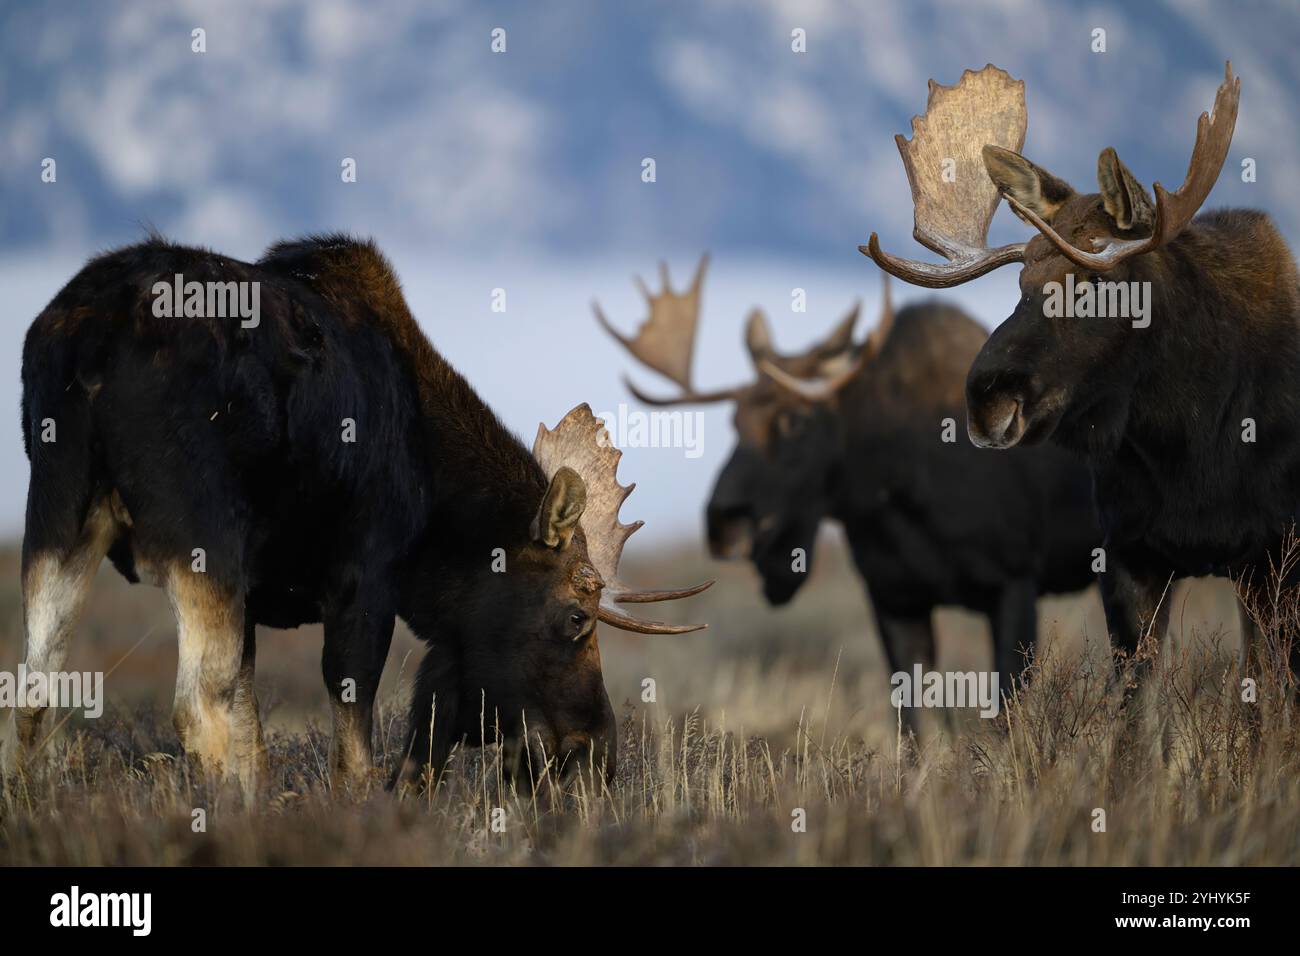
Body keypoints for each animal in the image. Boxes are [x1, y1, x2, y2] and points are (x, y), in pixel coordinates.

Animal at [1, 233, 711, 793]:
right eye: (576, 615)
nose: (595, 756)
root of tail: (92, 337)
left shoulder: (257, 598)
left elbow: (257, 742)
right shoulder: (366, 580)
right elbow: (354, 757)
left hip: (56, 512)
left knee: (35, 691)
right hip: (203, 535)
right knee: (193, 709)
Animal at [595, 256, 1098, 723]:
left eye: (795, 420)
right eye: (734, 422)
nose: (721, 521)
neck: (895, 490)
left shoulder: (1015, 584)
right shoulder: (895, 598)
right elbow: (918, 729)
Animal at [864, 62, 1300, 683]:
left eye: (1097, 281)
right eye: (1021, 283)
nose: (987, 399)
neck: (1191, 444)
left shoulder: (1272, 559)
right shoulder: (1127, 555)